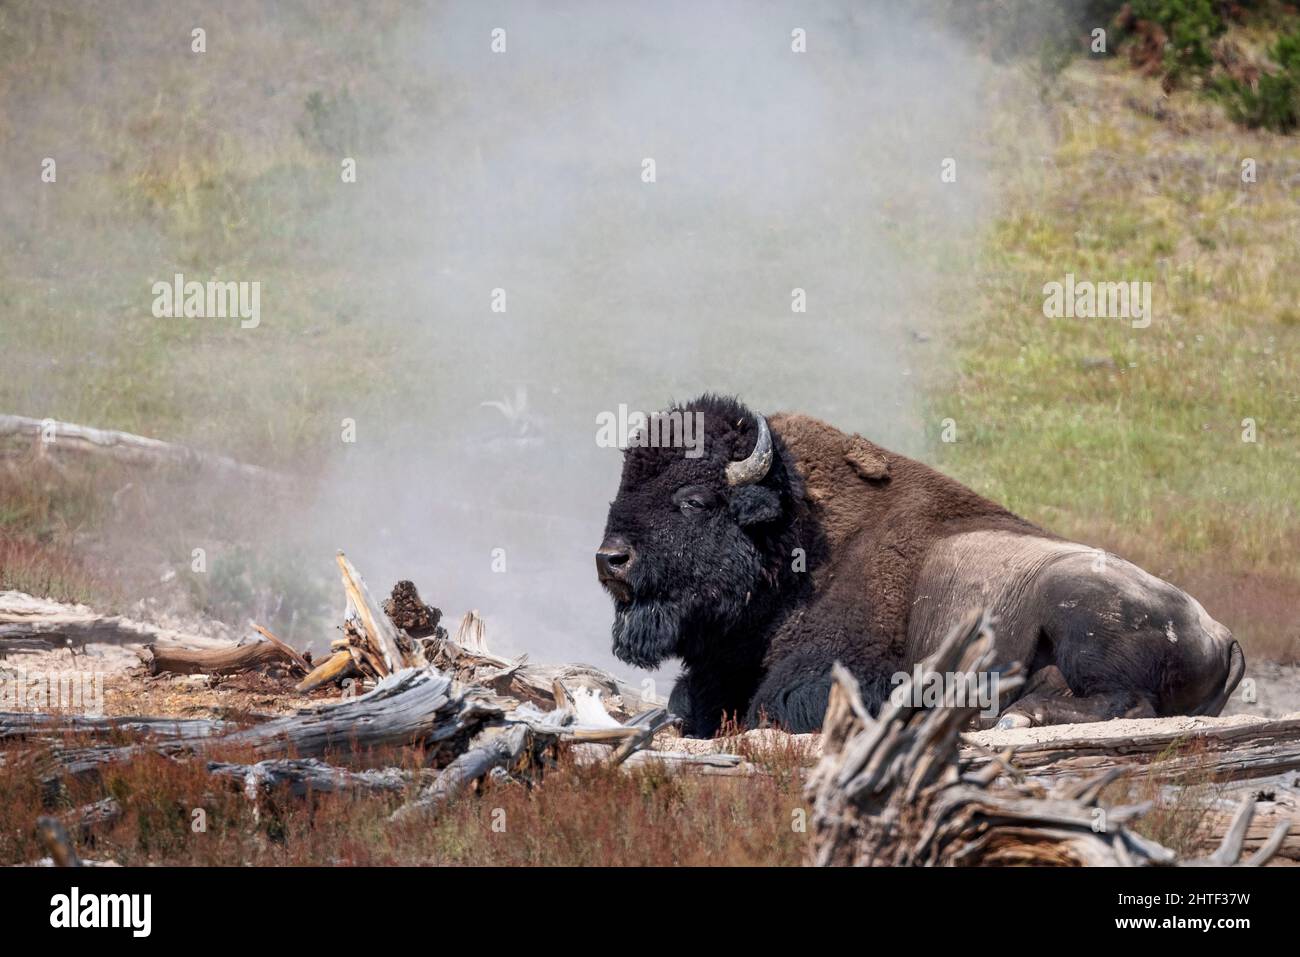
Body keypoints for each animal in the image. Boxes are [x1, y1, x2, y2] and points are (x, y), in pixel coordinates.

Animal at [597, 394, 1244, 737]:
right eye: (622, 488)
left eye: (695, 500)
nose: (611, 560)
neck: (799, 540)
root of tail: (1223, 632)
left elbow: (770, 708)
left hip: (1079, 610)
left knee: (1123, 702)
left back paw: (1009, 718)